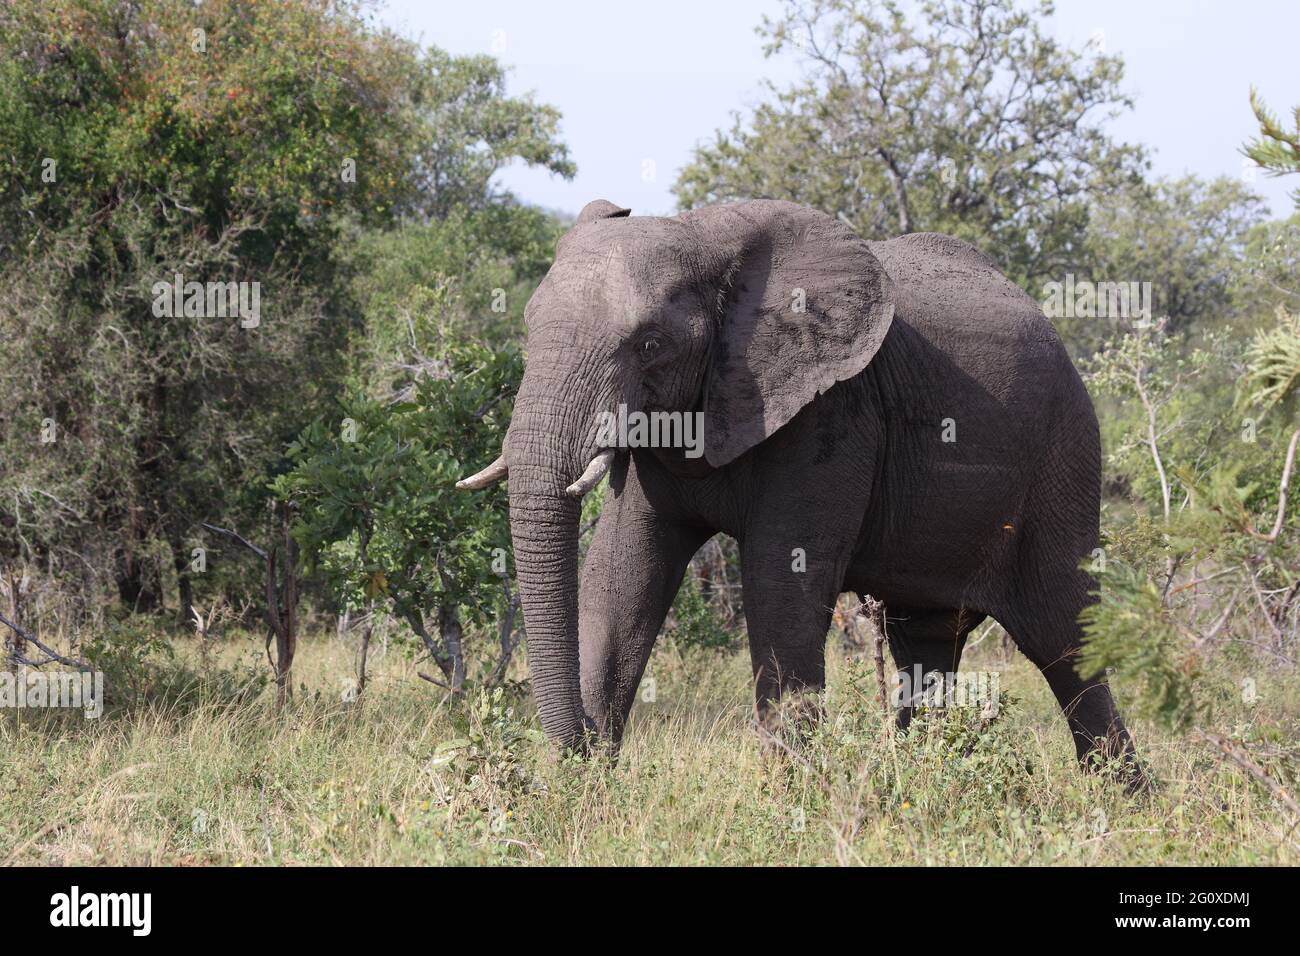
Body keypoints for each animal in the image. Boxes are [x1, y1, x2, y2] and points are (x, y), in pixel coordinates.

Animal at [458, 197, 1144, 785]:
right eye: (527, 329)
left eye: (649, 344)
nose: (576, 746)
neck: (706, 237)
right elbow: (621, 577)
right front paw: (579, 796)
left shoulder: (834, 410)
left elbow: (781, 582)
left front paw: (792, 802)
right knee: (926, 643)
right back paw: (924, 783)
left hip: (1066, 456)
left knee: (1064, 637)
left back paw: (1122, 802)